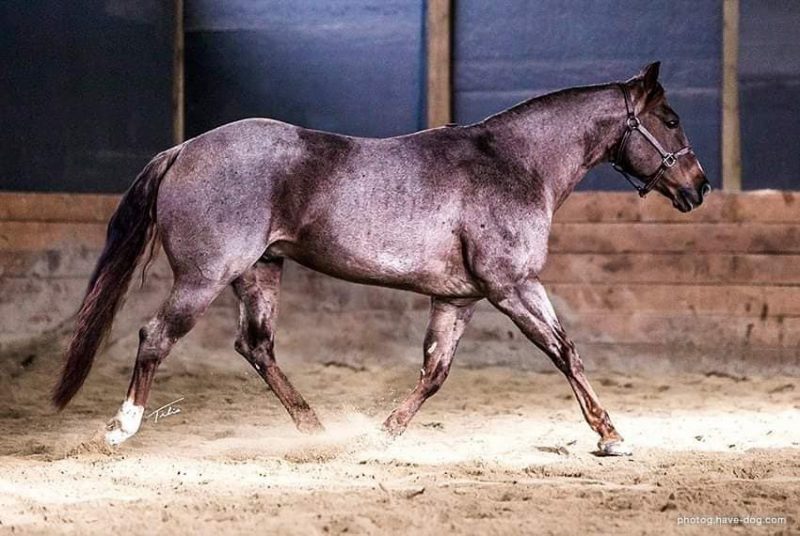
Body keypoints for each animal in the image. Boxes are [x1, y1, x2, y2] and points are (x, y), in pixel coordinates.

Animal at [53, 62, 709, 456]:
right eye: (670, 119)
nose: (698, 187)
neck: (513, 163)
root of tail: (184, 148)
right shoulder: (514, 285)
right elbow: (564, 351)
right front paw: (612, 436)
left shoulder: (459, 298)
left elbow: (435, 372)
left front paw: (383, 434)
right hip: (203, 278)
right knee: (155, 336)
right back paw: (121, 427)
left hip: (259, 272)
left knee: (256, 347)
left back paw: (315, 430)